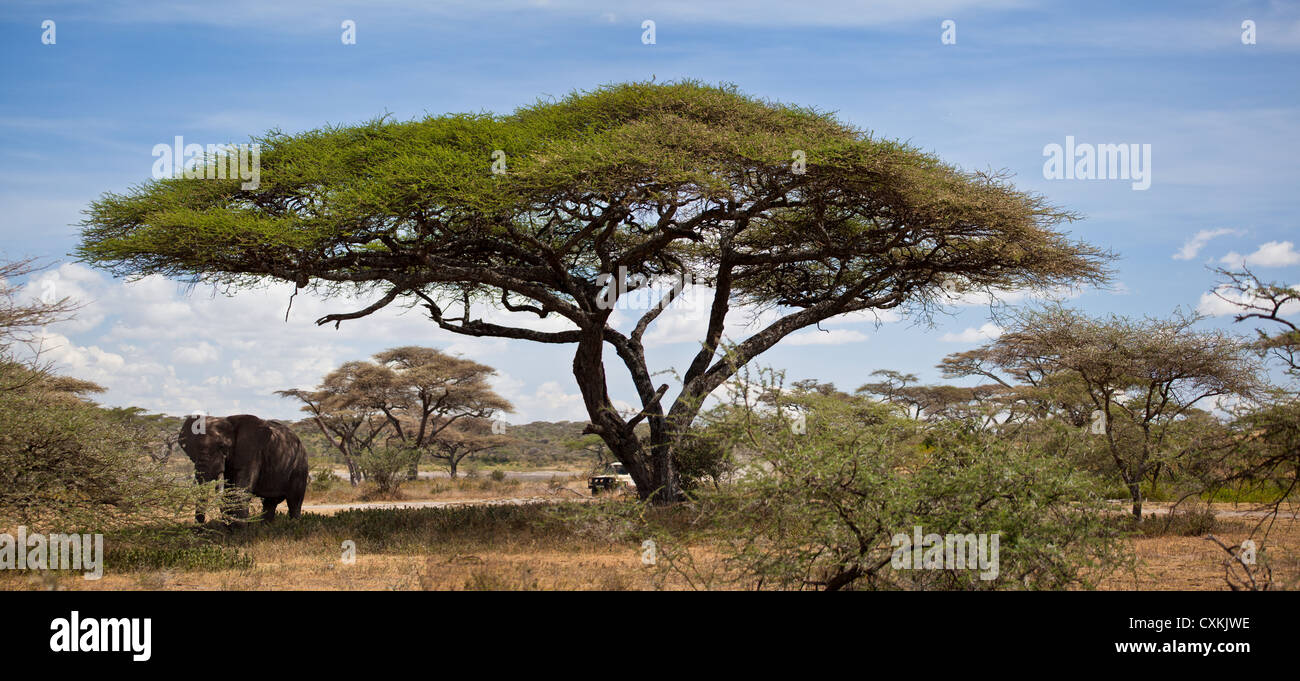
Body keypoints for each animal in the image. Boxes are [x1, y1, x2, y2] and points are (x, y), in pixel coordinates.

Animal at [178, 414, 309, 523]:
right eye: (195, 448)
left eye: (223, 447)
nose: (198, 530)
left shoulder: (253, 454)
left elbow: (240, 492)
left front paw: (239, 533)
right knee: (269, 503)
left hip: (299, 465)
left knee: (294, 502)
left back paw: (294, 525)